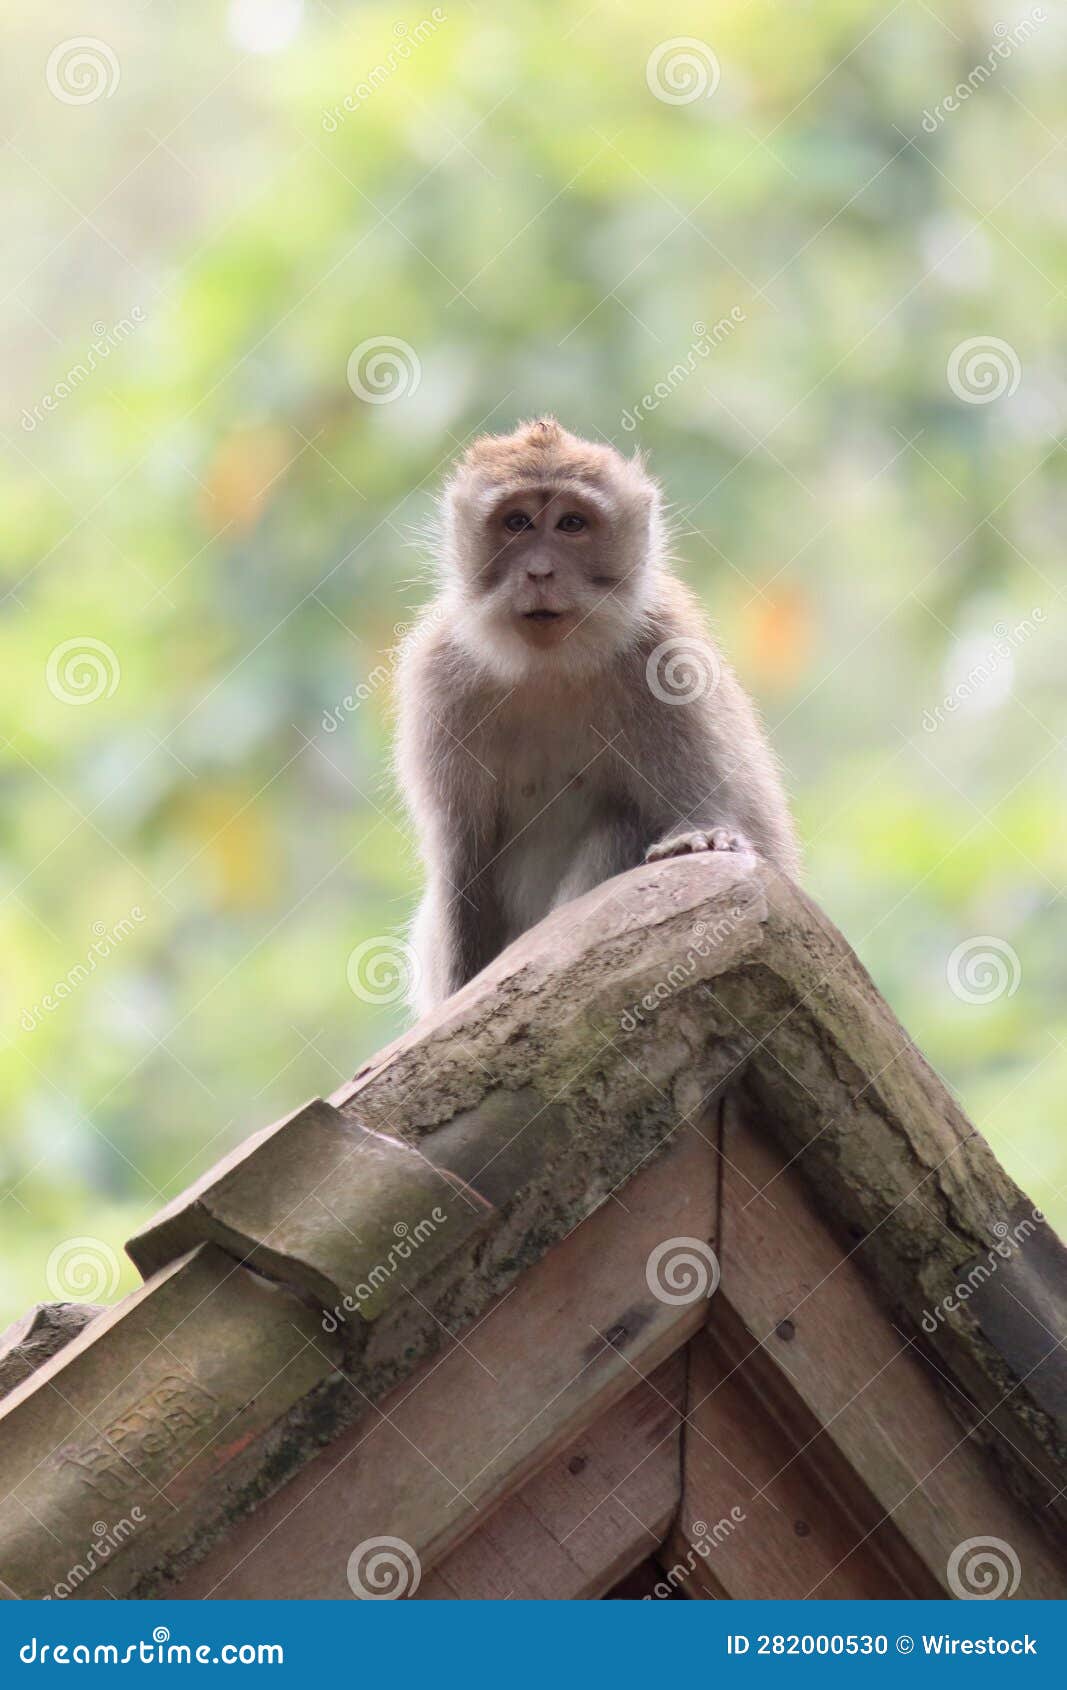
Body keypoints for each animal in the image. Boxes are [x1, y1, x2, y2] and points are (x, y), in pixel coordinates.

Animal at [396, 417, 799, 1016]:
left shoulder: (666, 656)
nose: (540, 571)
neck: (549, 666)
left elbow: (719, 821)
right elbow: (465, 863)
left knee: (623, 820)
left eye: (571, 524)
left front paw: (699, 840)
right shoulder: (437, 681)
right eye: (517, 522)